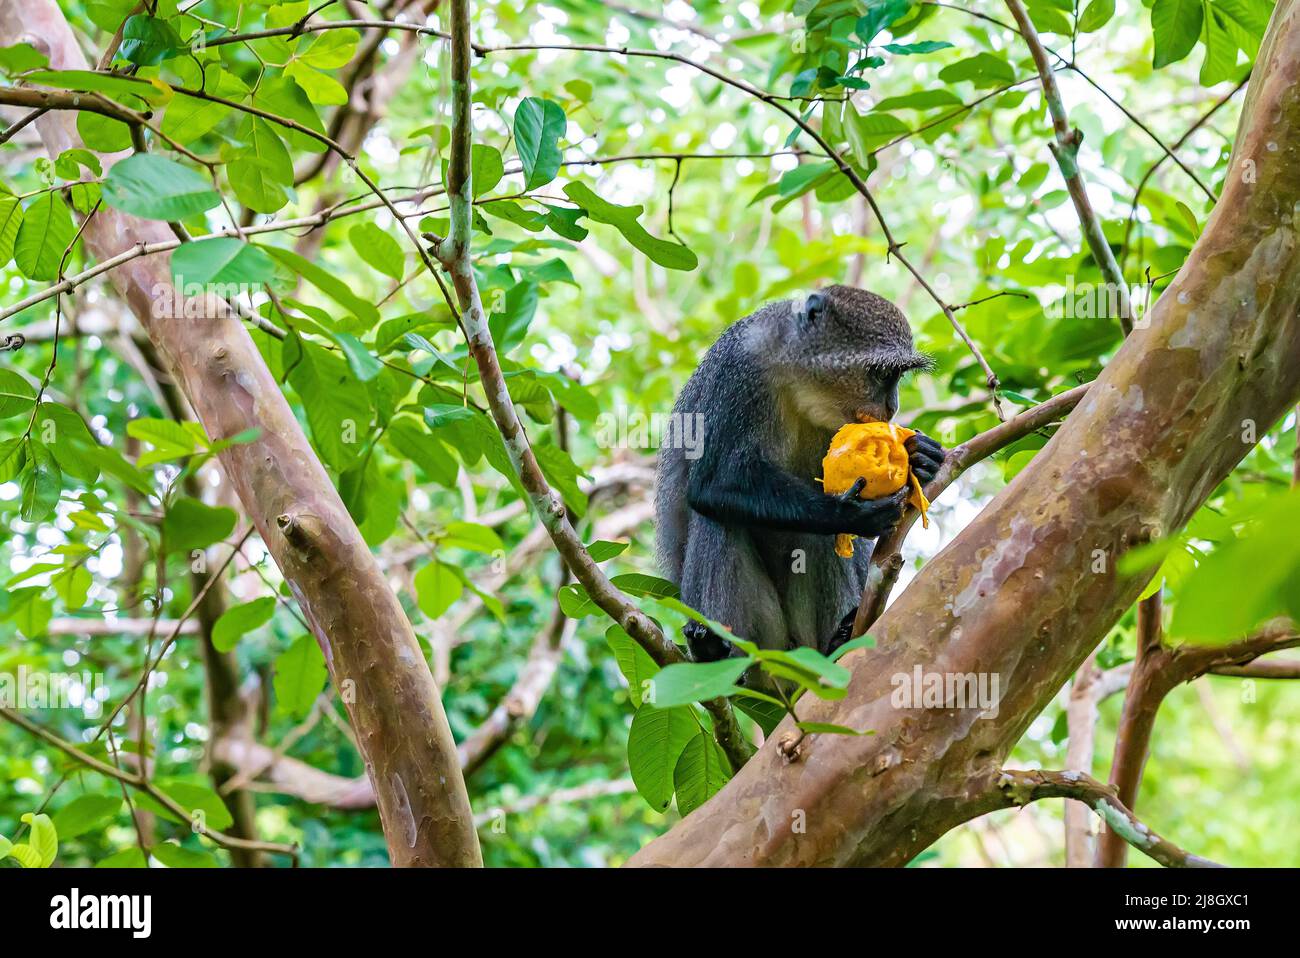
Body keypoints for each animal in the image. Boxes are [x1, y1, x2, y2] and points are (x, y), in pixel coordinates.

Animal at [654, 285, 944, 663]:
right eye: (882, 374)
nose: (892, 406)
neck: (797, 378)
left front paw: (923, 457)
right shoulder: (739, 370)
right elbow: (713, 482)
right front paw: (848, 513)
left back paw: (838, 642)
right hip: (765, 637)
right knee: (718, 517)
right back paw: (711, 651)